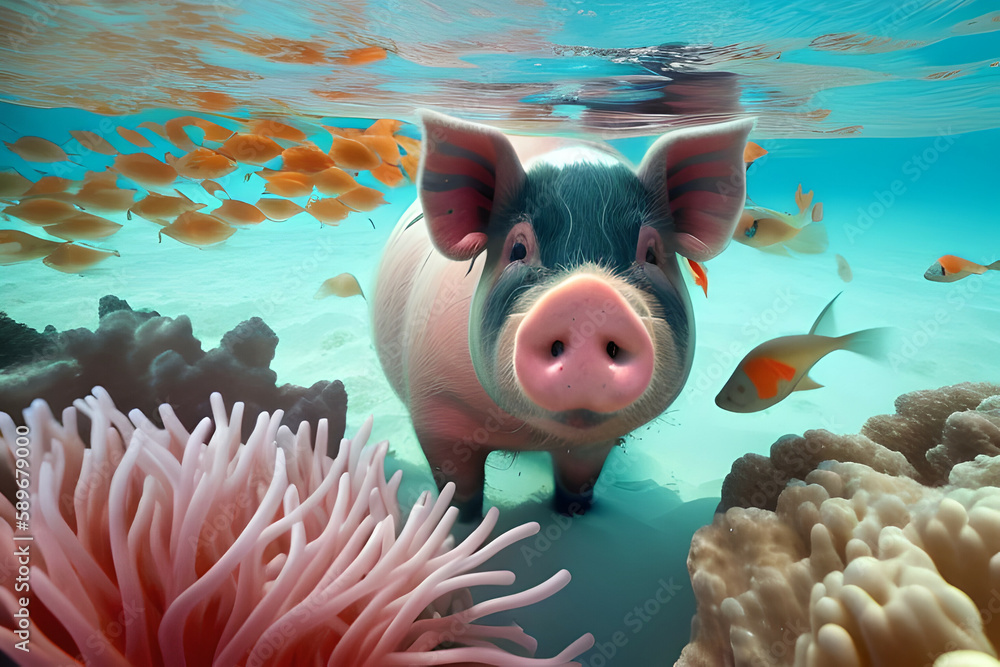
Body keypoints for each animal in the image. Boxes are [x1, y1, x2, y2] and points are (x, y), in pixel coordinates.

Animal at [372, 110, 752, 518]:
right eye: (518, 248)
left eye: (651, 254)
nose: (587, 296)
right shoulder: (435, 409)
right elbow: (459, 486)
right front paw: (460, 522)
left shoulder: (593, 445)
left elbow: (577, 481)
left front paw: (574, 514)